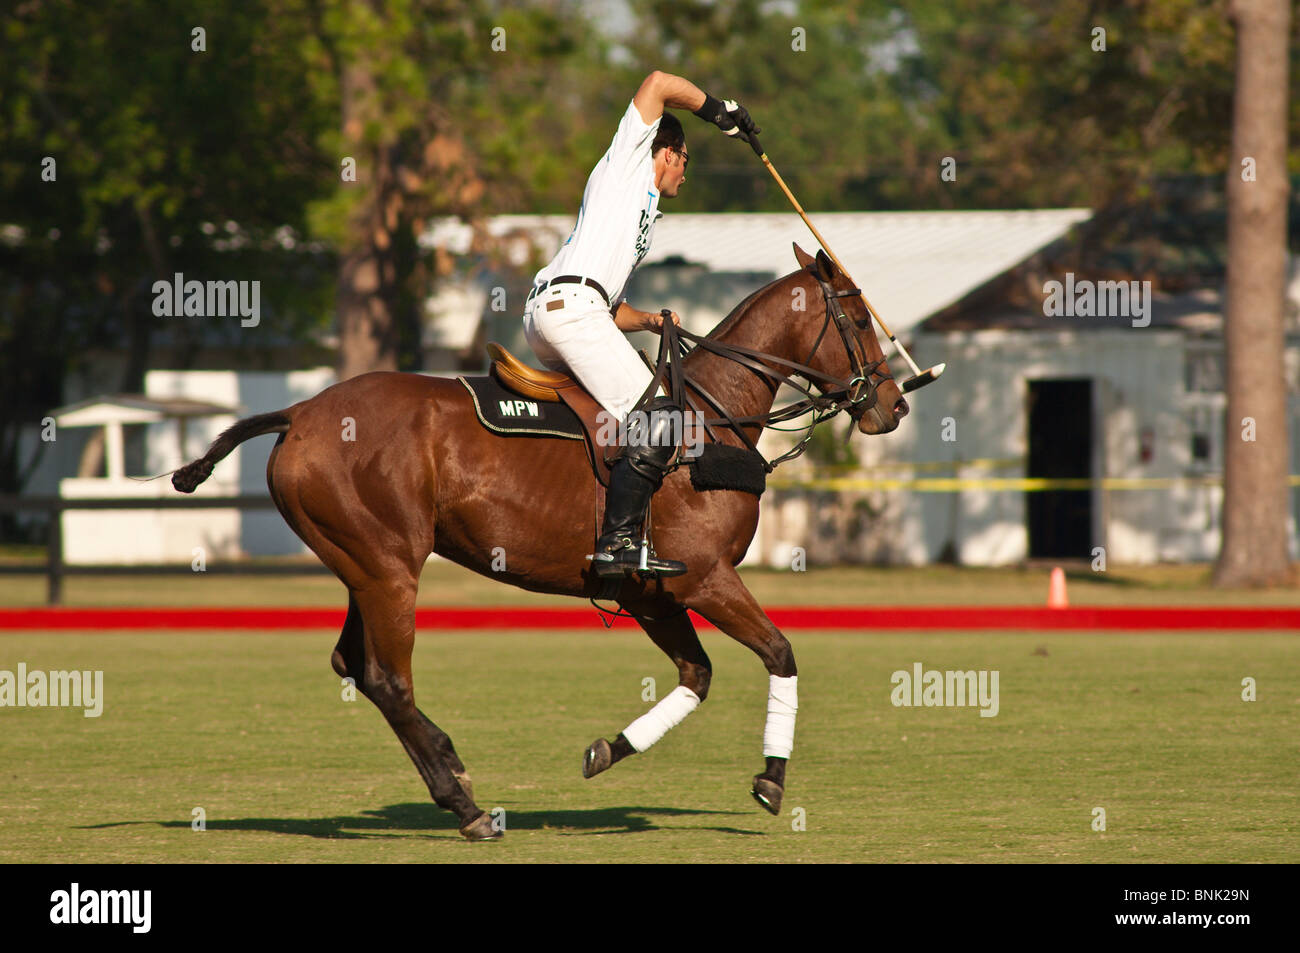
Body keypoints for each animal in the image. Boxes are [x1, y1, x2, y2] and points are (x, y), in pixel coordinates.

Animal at [172, 243, 909, 840]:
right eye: (858, 316)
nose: (894, 404)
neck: (712, 414)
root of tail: (298, 412)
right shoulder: (706, 578)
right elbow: (780, 652)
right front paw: (771, 780)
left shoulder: (652, 594)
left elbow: (696, 675)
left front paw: (606, 751)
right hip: (389, 568)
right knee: (387, 677)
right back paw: (466, 806)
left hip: (359, 565)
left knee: (354, 664)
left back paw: (455, 777)